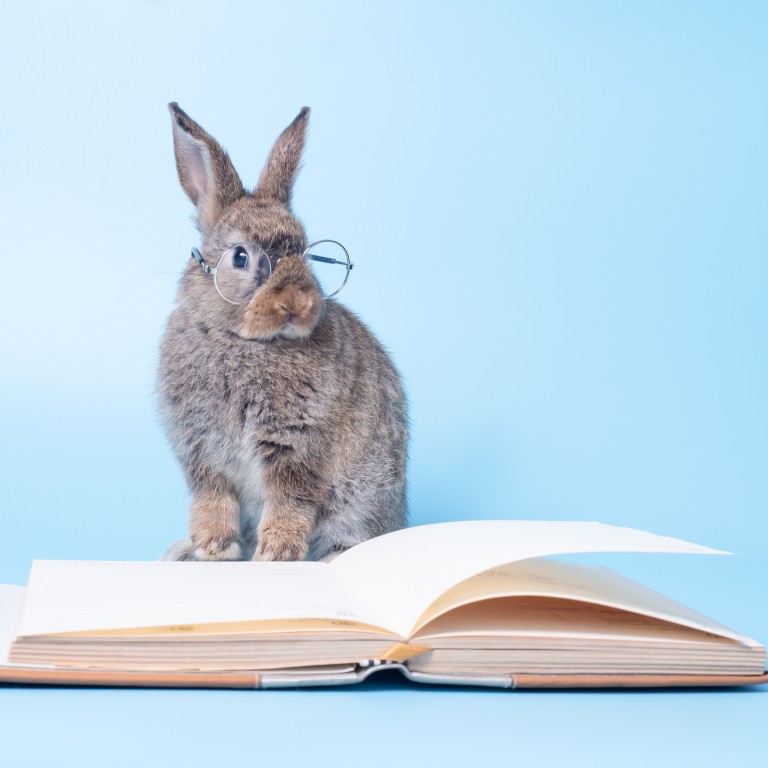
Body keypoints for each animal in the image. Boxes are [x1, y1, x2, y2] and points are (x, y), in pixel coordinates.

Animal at [158, 103, 408, 562]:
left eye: (308, 254)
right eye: (241, 257)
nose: (297, 304)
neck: (242, 341)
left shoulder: (296, 445)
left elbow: (290, 498)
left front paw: (276, 554)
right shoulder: (203, 452)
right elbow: (213, 499)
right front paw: (212, 549)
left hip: (362, 497)